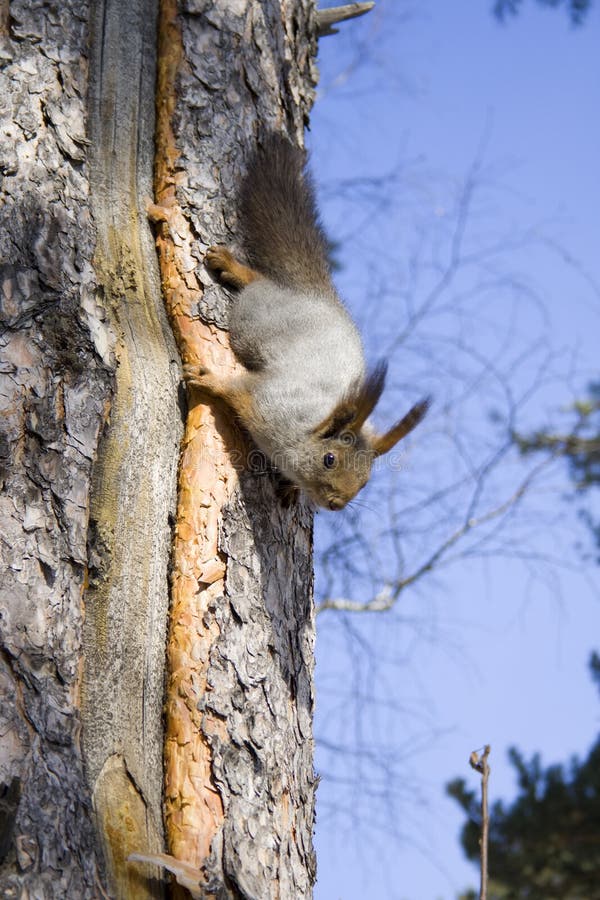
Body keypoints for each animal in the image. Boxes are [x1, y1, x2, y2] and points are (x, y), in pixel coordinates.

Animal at [184, 134, 429, 510]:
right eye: (329, 459)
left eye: (365, 480)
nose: (337, 504)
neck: (307, 426)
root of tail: (317, 297)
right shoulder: (267, 400)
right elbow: (233, 388)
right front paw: (208, 378)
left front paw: (291, 489)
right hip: (257, 313)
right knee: (258, 282)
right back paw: (230, 265)